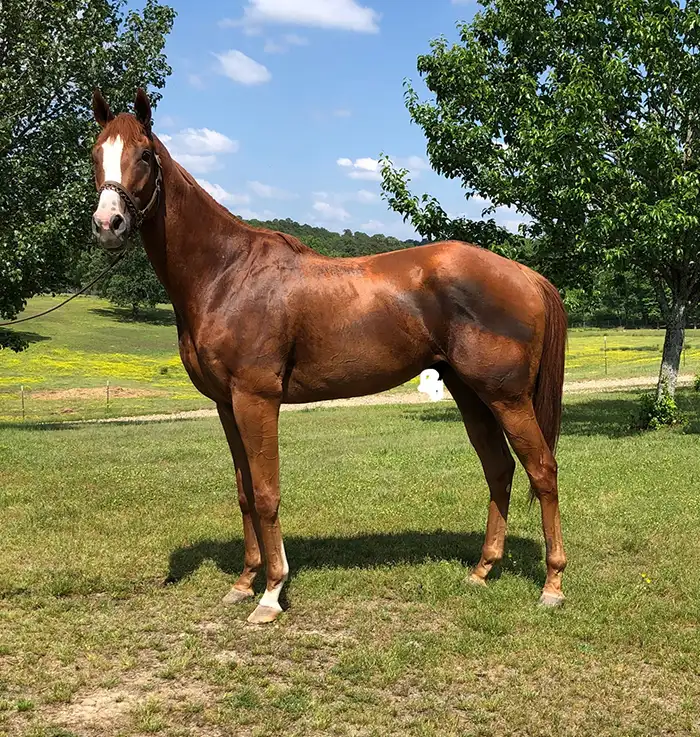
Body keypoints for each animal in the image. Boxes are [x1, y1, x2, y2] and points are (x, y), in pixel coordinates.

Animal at [90, 89, 568, 624]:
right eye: (95, 153)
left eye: (144, 156)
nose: (108, 224)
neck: (226, 274)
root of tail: (526, 275)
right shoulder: (226, 405)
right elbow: (244, 492)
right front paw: (243, 582)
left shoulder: (256, 399)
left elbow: (267, 492)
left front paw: (271, 593)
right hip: (471, 394)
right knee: (500, 470)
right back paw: (483, 570)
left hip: (507, 398)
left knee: (543, 471)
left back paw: (552, 584)